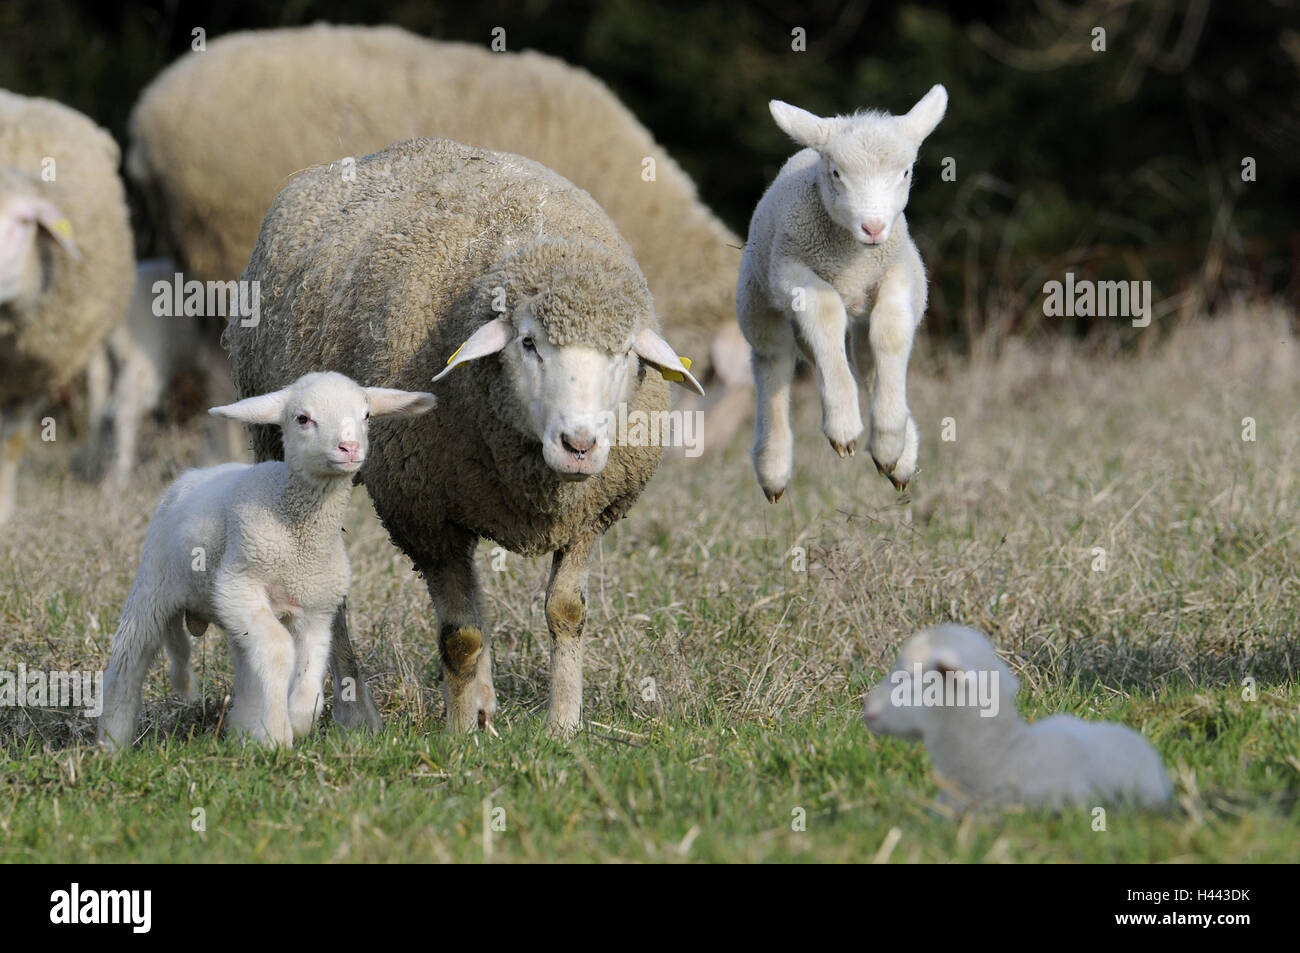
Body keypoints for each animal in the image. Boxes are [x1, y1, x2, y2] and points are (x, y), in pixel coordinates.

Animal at [97, 371, 436, 750]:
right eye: (302, 418)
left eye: (365, 416)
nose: (349, 448)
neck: (299, 533)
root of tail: (190, 476)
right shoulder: (238, 584)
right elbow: (278, 652)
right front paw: (277, 733)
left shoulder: (317, 609)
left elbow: (311, 665)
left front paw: (298, 719)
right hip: (154, 584)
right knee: (129, 659)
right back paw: (112, 743)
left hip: (232, 615)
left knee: (247, 666)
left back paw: (243, 732)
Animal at [224, 137, 703, 734]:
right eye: (528, 342)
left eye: (623, 354)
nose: (580, 446)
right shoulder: (424, 514)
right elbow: (460, 636)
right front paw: (455, 734)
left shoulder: (590, 511)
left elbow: (565, 613)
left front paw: (563, 725)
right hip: (286, 451)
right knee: (329, 600)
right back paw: (360, 717)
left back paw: (484, 705)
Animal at [737, 86, 948, 502]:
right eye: (837, 173)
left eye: (905, 172)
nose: (874, 227)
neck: (852, 259)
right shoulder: (793, 271)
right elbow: (825, 316)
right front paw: (844, 427)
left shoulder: (899, 271)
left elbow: (891, 332)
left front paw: (890, 443)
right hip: (757, 296)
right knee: (774, 360)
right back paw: (774, 467)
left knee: (864, 359)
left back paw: (899, 458)